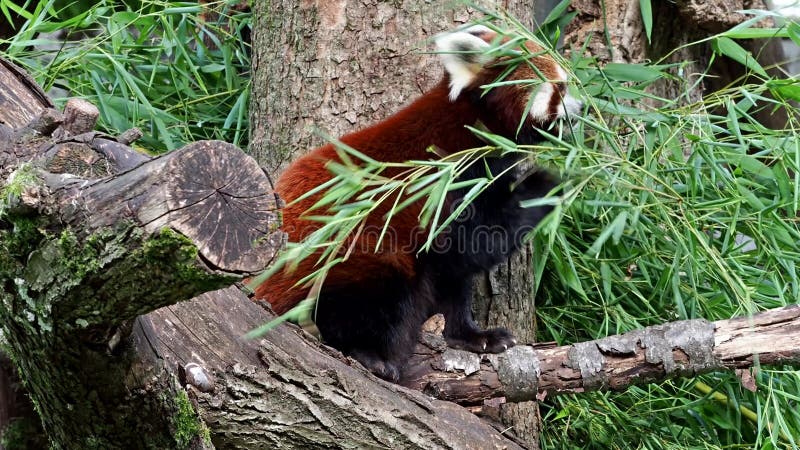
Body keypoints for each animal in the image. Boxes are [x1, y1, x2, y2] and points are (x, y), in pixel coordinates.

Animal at [255, 24, 581, 381]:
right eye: (560, 87)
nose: (581, 109)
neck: (476, 125)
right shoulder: (448, 182)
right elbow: (478, 241)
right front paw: (551, 181)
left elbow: (455, 277)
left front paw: (472, 336)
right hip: (345, 258)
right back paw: (369, 355)